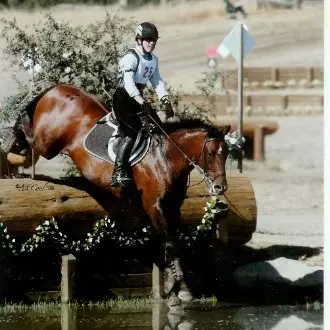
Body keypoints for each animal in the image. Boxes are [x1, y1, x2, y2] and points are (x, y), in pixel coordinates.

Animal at [11, 84, 231, 304]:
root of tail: (58, 88)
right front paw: (183, 289)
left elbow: (171, 244)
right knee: (29, 132)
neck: (166, 158)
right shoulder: (155, 207)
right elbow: (171, 244)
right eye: (211, 154)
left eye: (227, 154)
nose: (220, 188)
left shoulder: (172, 209)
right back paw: (16, 146)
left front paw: (172, 285)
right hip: (47, 143)